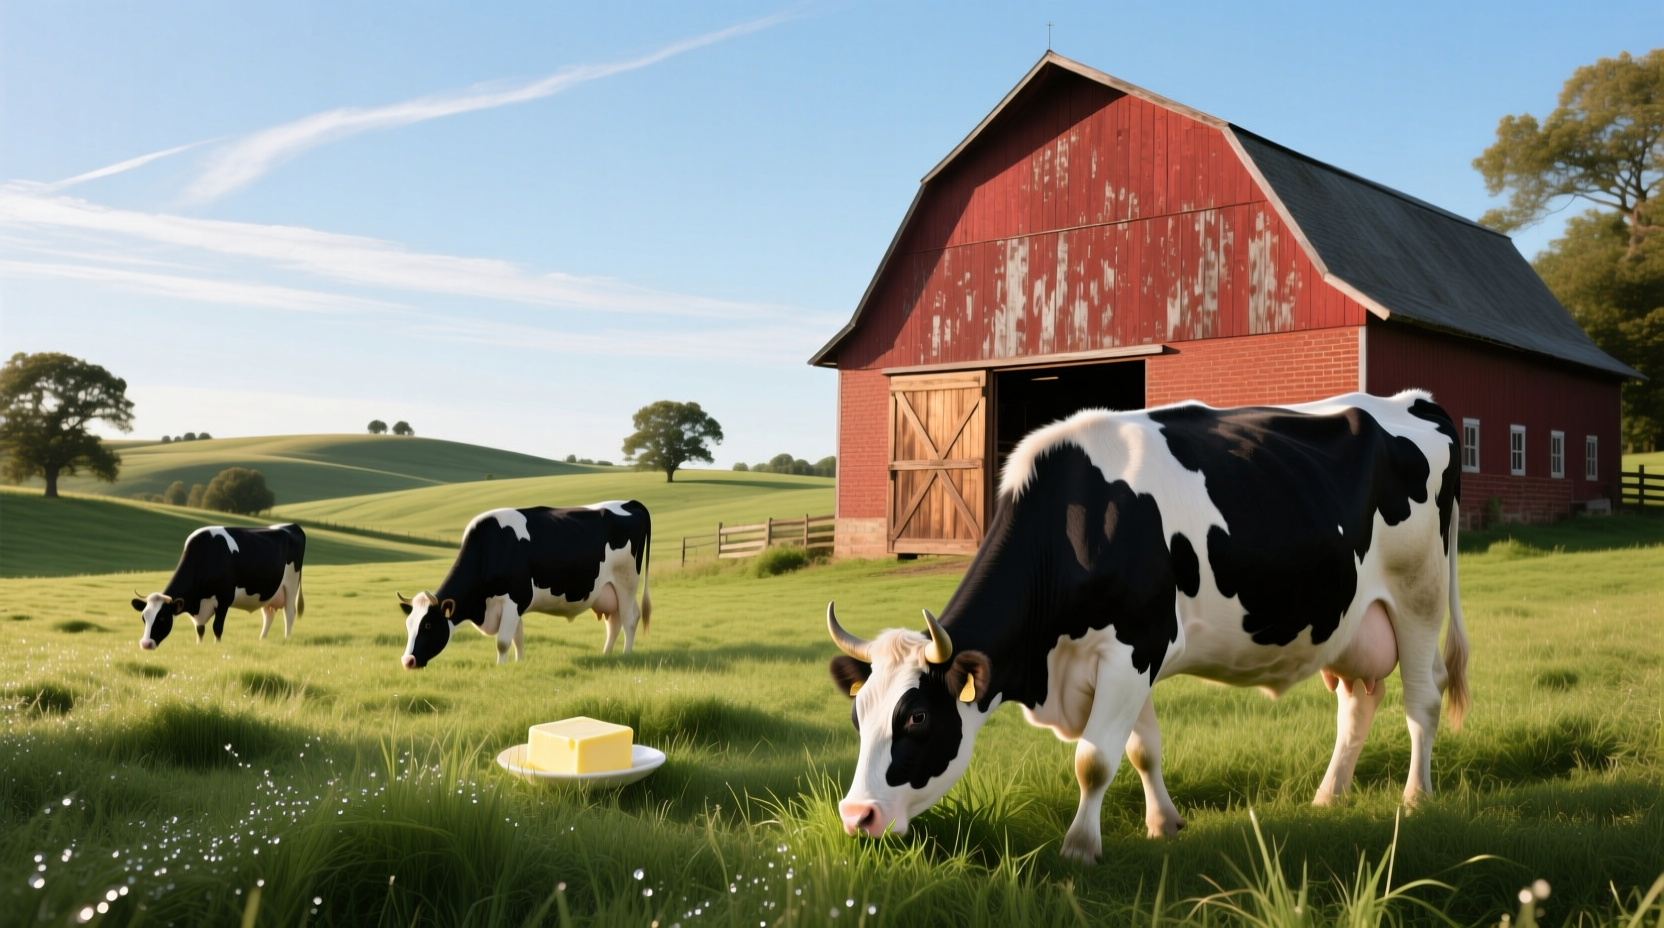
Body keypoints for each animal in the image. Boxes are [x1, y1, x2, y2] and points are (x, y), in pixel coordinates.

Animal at [131, 524, 307, 650]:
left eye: (162, 618)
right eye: (144, 618)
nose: (145, 644)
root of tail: (291, 525)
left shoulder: (224, 599)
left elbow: (217, 627)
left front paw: (217, 646)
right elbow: (200, 629)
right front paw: (199, 645)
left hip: (291, 585)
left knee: (289, 613)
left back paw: (287, 638)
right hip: (268, 592)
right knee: (268, 614)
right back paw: (262, 639)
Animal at [397, 500, 651, 668]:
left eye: (428, 624)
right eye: (408, 624)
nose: (407, 660)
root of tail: (630, 503)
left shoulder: (514, 598)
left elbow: (502, 642)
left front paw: (500, 669)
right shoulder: (515, 605)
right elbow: (517, 638)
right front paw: (517, 665)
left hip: (627, 581)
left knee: (629, 619)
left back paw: (626, 655)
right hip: (608, 591)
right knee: (614, 622)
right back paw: (607, 655)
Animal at [825, 390, 1469, 864]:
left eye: (917, 718)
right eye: (858, 716)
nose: (856, 817)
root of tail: (1414, 401)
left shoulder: (1133, 646)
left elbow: (1094, 759)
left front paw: (1080, 848)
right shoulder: (1127, 660)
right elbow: (1142, 750)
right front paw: (1163, 823)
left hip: (1419, 593)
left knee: (1422, 700)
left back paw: (1415, 798)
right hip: (1349, 622)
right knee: (1357, 707)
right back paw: (1328, 797)